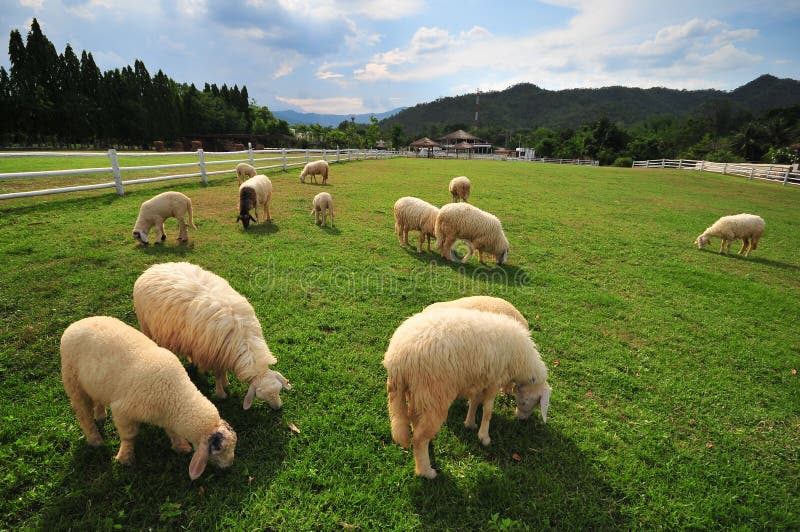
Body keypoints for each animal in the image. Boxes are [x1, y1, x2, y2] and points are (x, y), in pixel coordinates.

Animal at [60, 316, 237, 480]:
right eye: (218, 449)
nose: (230, 466)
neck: (174, 394)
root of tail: (75, 324)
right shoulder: (123, 412)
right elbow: (129, 436)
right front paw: (126, 458)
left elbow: (173, 432)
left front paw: (181, 446)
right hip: (73, 381)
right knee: (83, 414)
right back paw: (95, 439)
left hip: (95, 383)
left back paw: (100, 414)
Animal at [133, 262, 291, 410]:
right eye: (261, 396)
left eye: (279, 390)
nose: (278, 408)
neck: (244, 337)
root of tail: (152, 268)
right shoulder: (214, 355)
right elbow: (218, 374)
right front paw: (221, 393)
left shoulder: (224, 353)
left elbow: (223, 371)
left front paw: (226, 382)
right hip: (145, 324)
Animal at [383, 307, 551, 478]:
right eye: (531, 402)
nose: (522, 419)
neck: (521, 362)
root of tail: (396, 359)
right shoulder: (494, 380)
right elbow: (488, 410)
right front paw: (484, 437)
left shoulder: (480, 378)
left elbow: (475, 401)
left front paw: (470, 423)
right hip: (434, 393)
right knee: (419, 438)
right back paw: (427, 472)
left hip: (418, 392)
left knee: (414, 419)